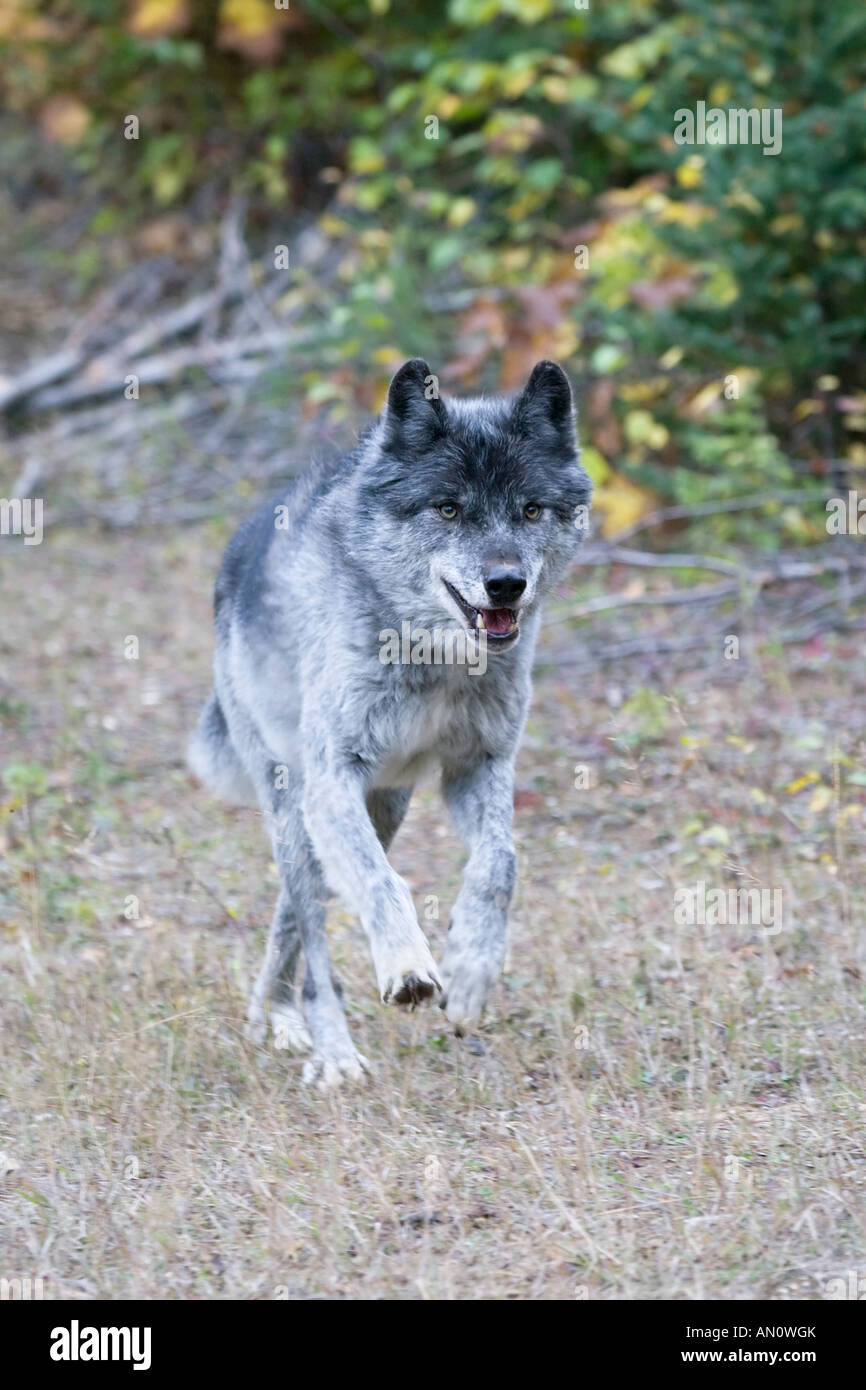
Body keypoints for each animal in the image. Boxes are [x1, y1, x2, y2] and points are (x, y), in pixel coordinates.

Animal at [189, 358, 591, 1087]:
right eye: (449, 508)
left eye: (529, 509)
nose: (506, 583)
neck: (434, 657)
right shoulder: (334, 782)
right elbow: (383, 884)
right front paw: (407, 965)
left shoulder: (479, 768)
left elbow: (501, 866)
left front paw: (471, 971)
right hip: (298, 812)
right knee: (313, 939)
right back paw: (330, 1052)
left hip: (382, 809)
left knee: (292, 918)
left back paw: (272, 1018)